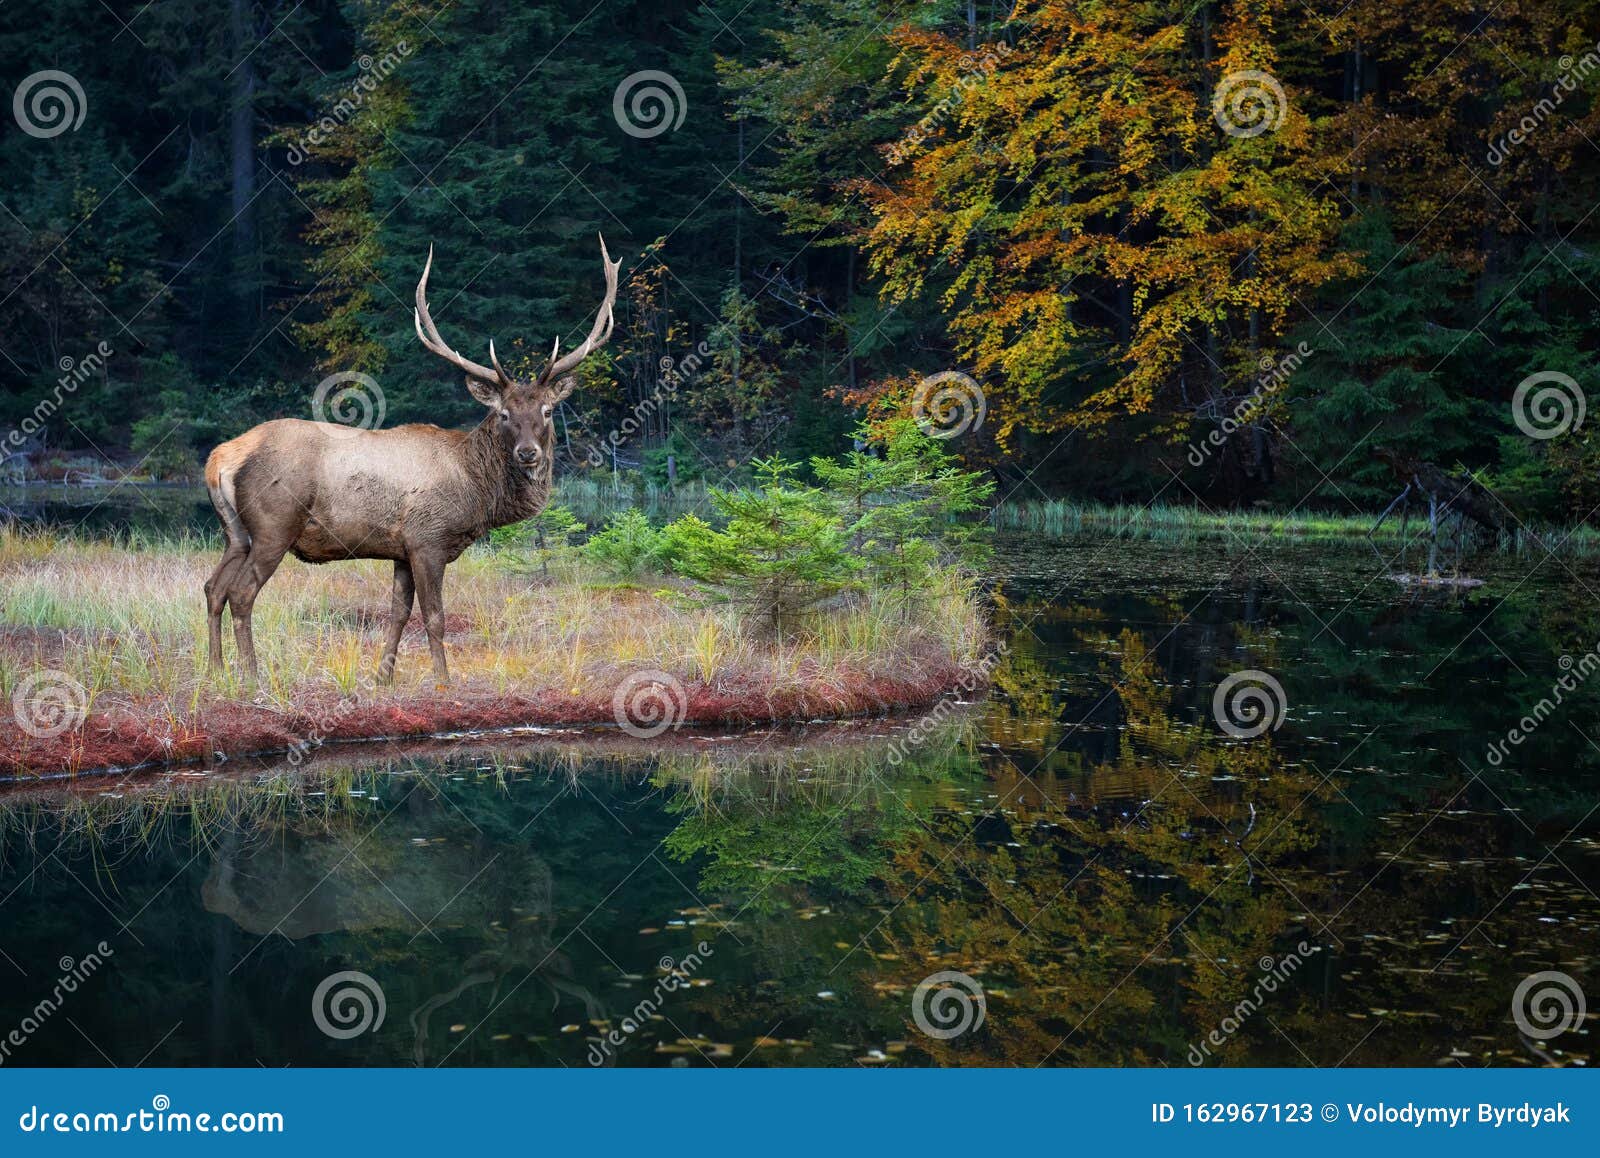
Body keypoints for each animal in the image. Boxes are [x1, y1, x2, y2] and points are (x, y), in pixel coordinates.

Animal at [203, 236, 622, 687]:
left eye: (547, 410)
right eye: (504, 414)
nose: (528, 452)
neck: (477, 490)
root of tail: (219, 459)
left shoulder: (401, 551)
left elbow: (398, 614)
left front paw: (383, 676)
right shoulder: (427, 541)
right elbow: (434, 617)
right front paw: (443, 680)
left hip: (235, 533)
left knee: (213, 588)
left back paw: (216, 670)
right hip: (273, 526)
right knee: (241, 593)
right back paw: (251, 674)